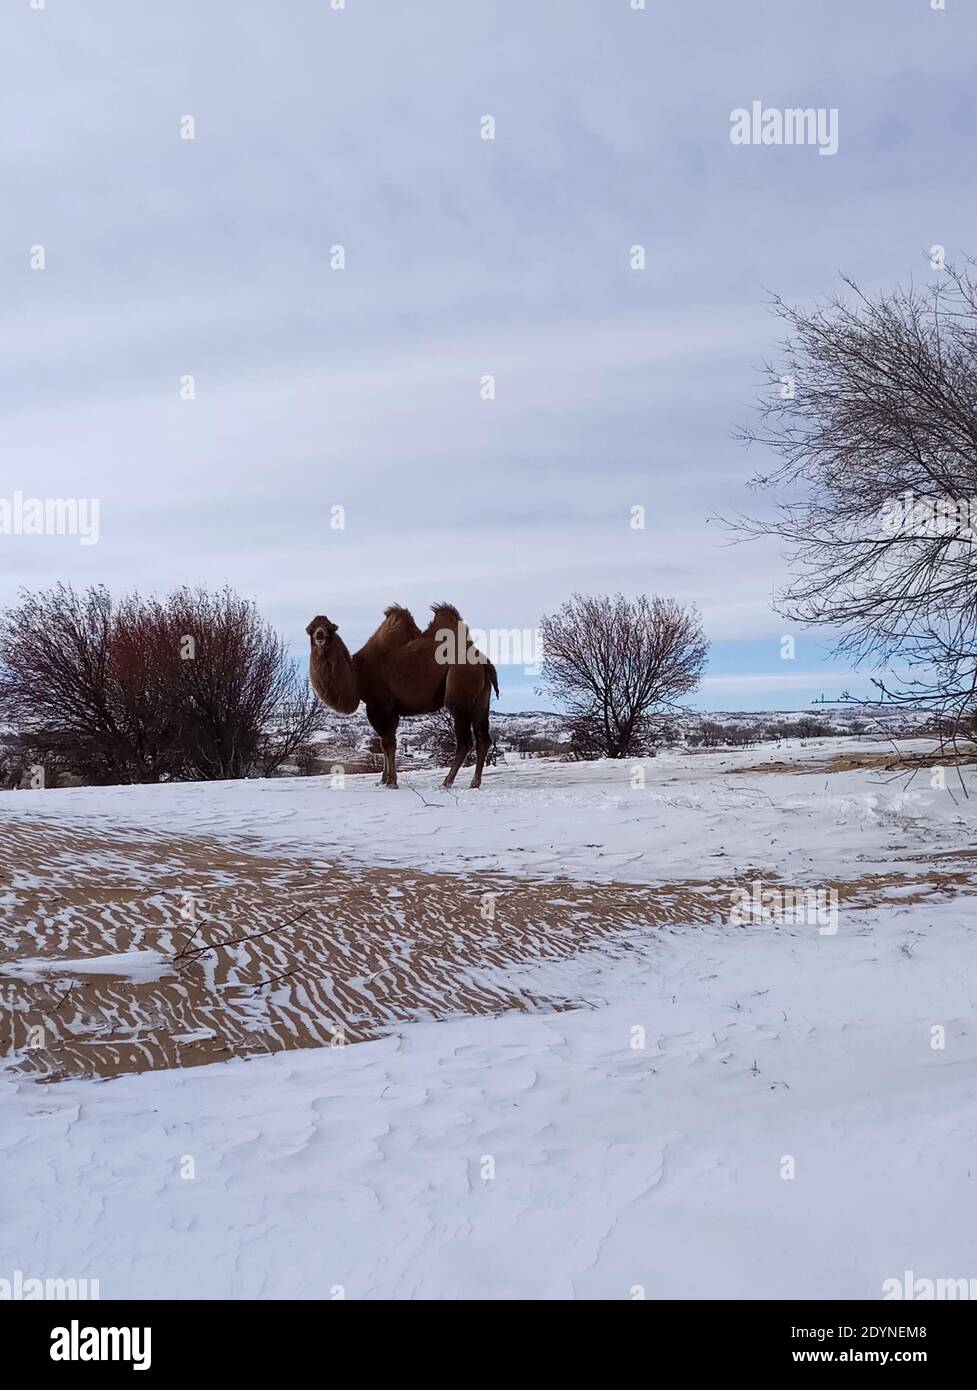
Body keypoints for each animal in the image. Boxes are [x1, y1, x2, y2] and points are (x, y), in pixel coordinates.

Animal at [306, 603, 499, 789]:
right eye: (310, 628)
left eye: (330, 628)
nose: (320, 635)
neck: (357, 674)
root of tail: (483, 661)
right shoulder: (388, 709)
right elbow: (384, 744)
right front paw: (383, 780)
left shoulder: (380, 705)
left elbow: (388, 743)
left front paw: (391, 782)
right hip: (481, 701)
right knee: (483, 739)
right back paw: (474, 783)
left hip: (460, 696)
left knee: (465, 742)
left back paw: (447, 782)